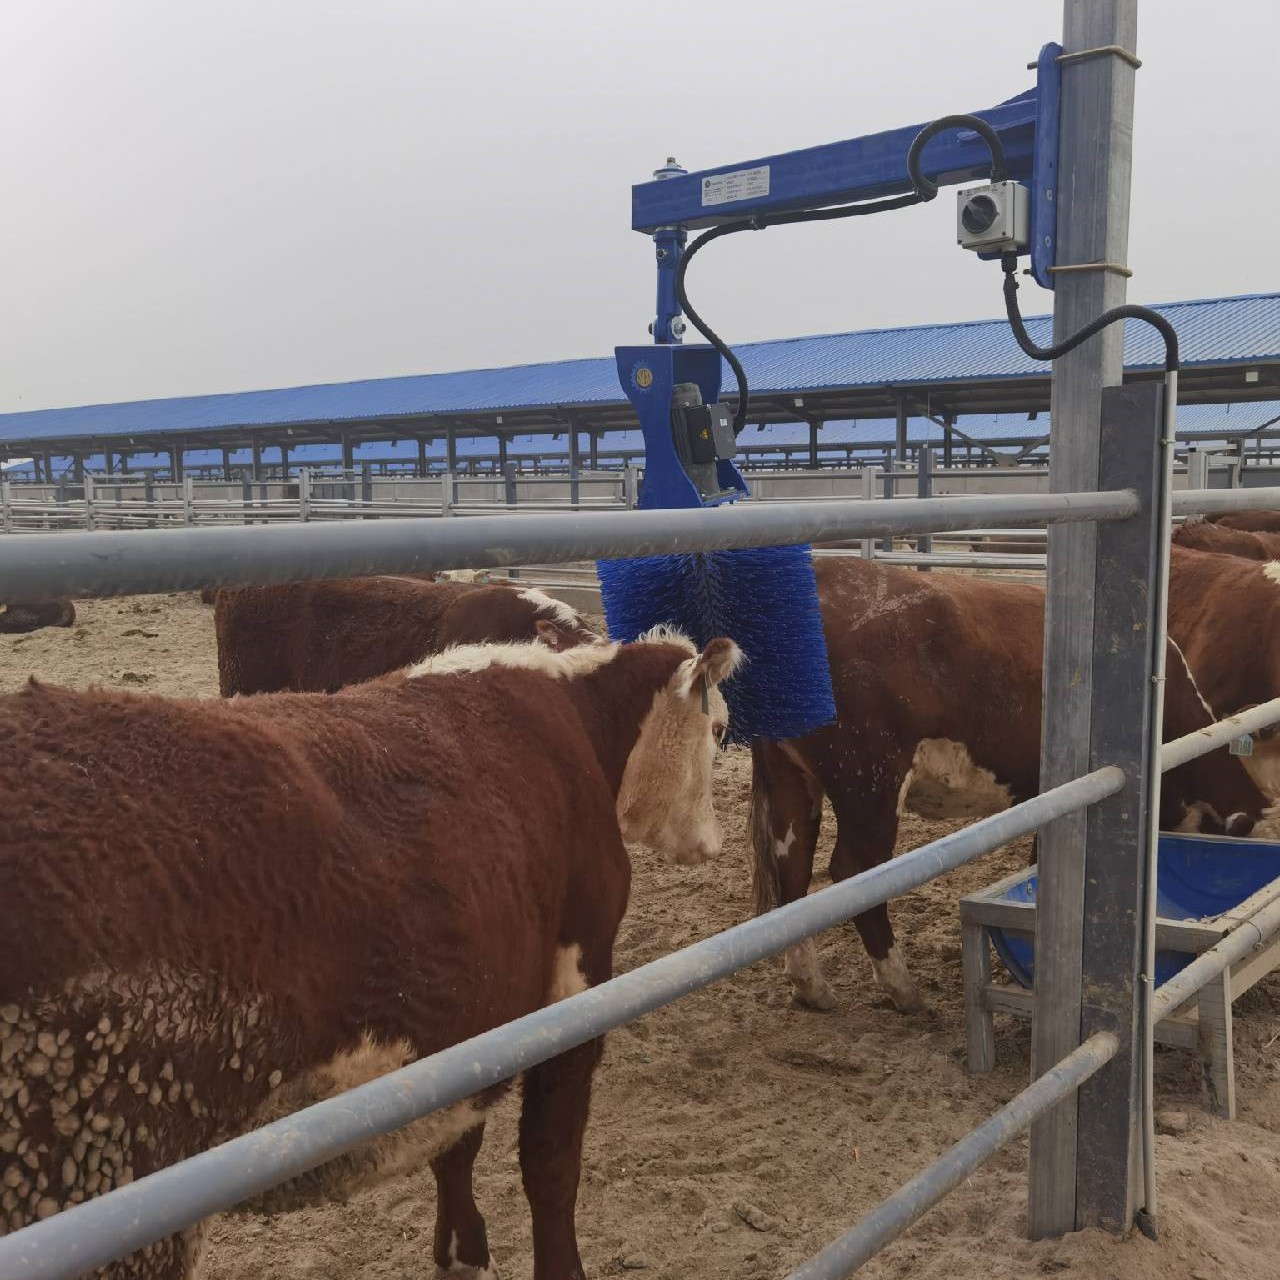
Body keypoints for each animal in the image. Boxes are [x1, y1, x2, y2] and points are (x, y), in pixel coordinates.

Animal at [0, 627, 739, 1278]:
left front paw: (462, 1252)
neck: (575, 721)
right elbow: (550, 1166)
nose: (715, 842)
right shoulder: (578, 983)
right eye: (722, 730)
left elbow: (456, 1141)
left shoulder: (467, 1010)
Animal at [750, 556, 1278, 1015]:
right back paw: (902, 989)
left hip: (792, 781)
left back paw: (810, 985)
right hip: (869, 784)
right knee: (854, 873)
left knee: (793, 870)